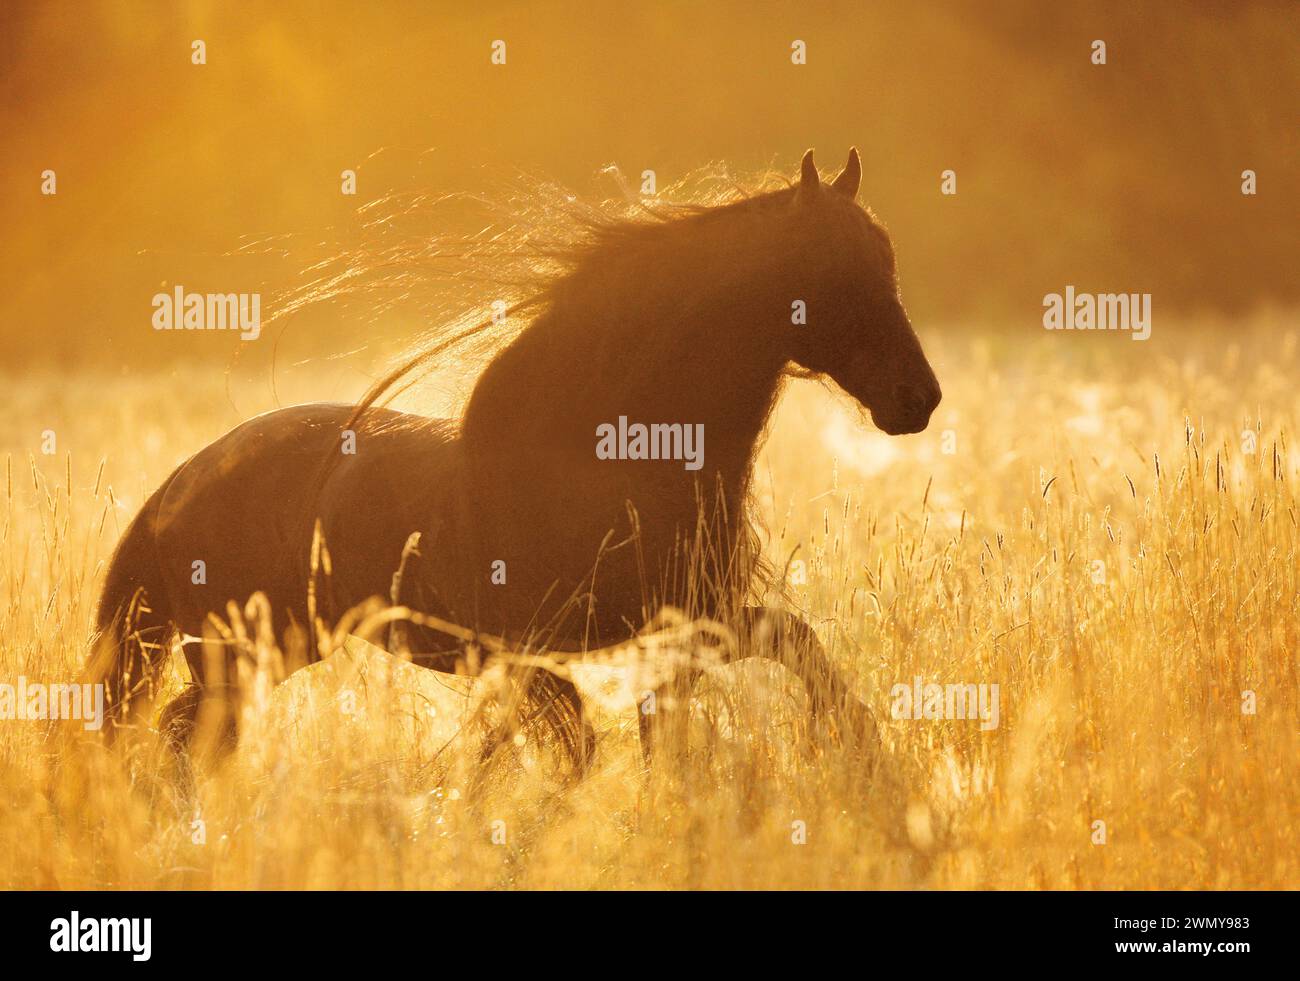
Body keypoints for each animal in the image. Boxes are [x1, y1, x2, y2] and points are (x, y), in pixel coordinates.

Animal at [87, 147, 941, 774]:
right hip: (239, 653)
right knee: (182, 738)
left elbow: (788, 653)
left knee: (181, 733)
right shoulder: (553, 640)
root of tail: (179, 482)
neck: (612, 452)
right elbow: (586, 738)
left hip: (277, 648)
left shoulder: (695, 616)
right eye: (833, 273)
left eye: (888, 262)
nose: (920, 398)